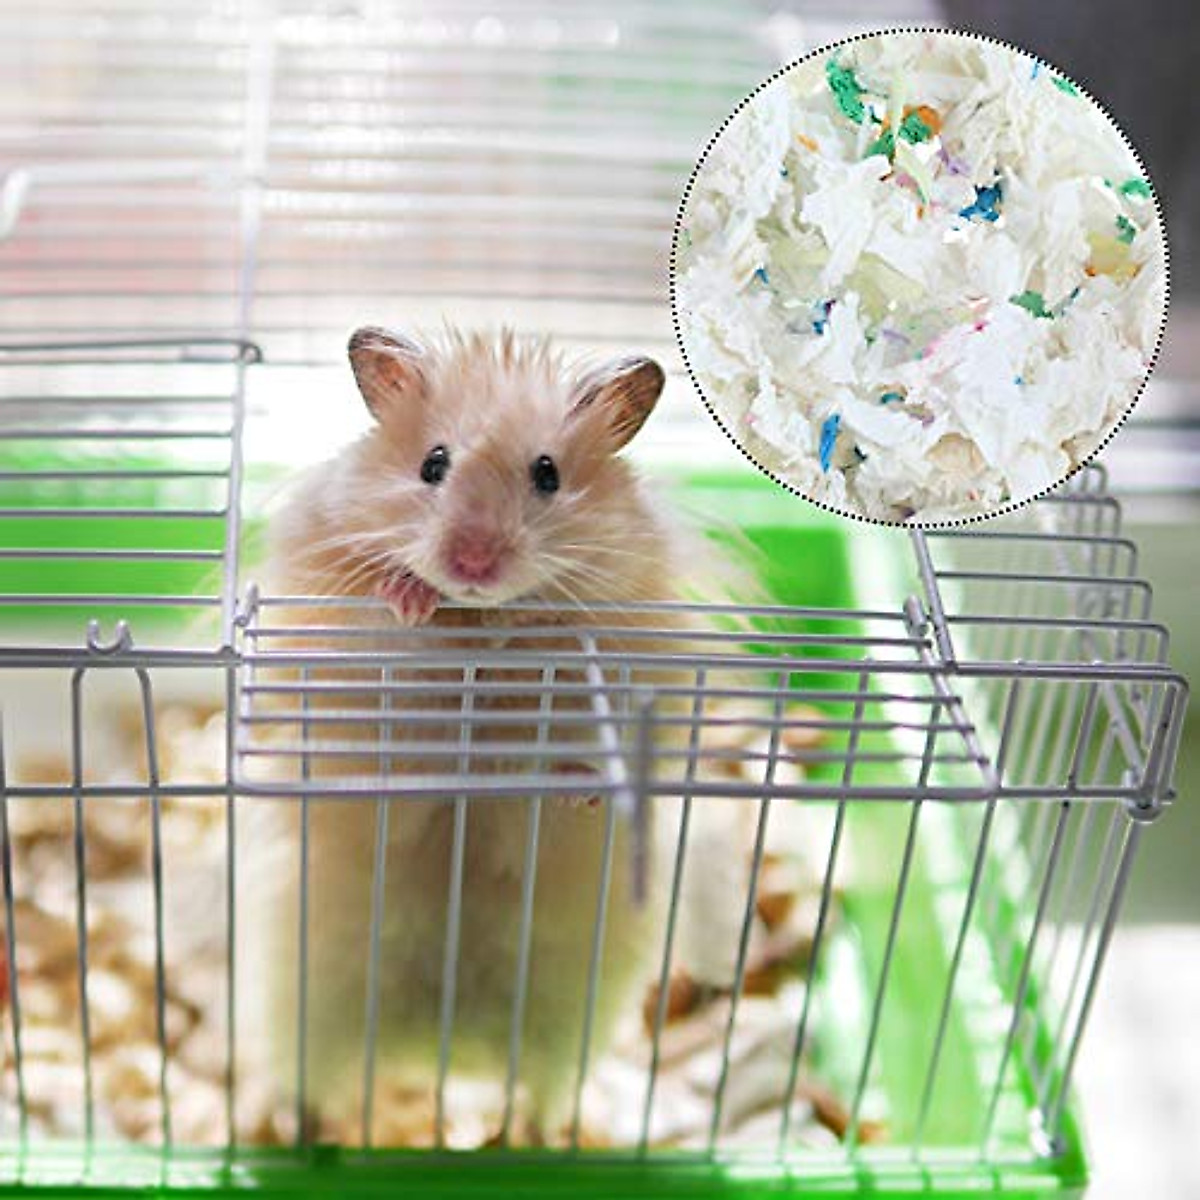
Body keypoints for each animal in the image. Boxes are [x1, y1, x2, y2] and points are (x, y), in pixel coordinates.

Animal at [239, 327, 725, 1145]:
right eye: (433, 464)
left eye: (547, 474)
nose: (471, 561)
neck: (477, 622)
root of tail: (443, 1054)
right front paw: (409, 596)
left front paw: (582, 789)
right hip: (306, 1008)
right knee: (310, 1089)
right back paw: (302, 1135)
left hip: (568, 1027)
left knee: (538, 1098)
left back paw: (528, 1139)